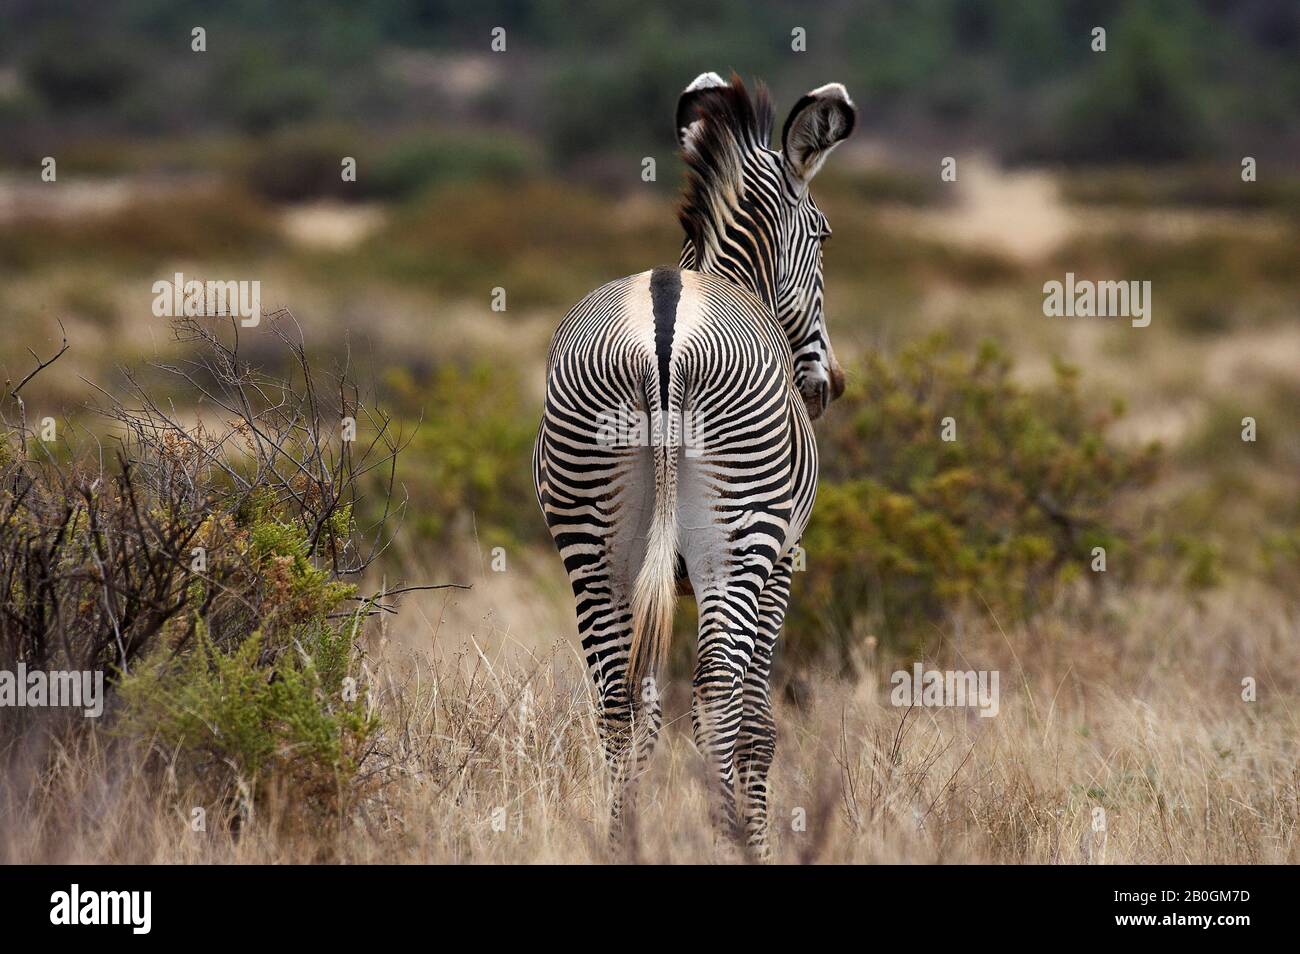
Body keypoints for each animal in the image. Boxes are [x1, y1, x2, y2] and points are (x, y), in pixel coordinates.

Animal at [533, 72, 854, 858]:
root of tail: (665, 328)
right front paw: (753, 841)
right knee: (715, 694)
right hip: (742, 537)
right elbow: (757, 727)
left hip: (588, 532)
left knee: (619, 700)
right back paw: (725, 839)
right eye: (824, 236)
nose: (827, 387)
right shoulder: (783, 563)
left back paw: (620, 841)